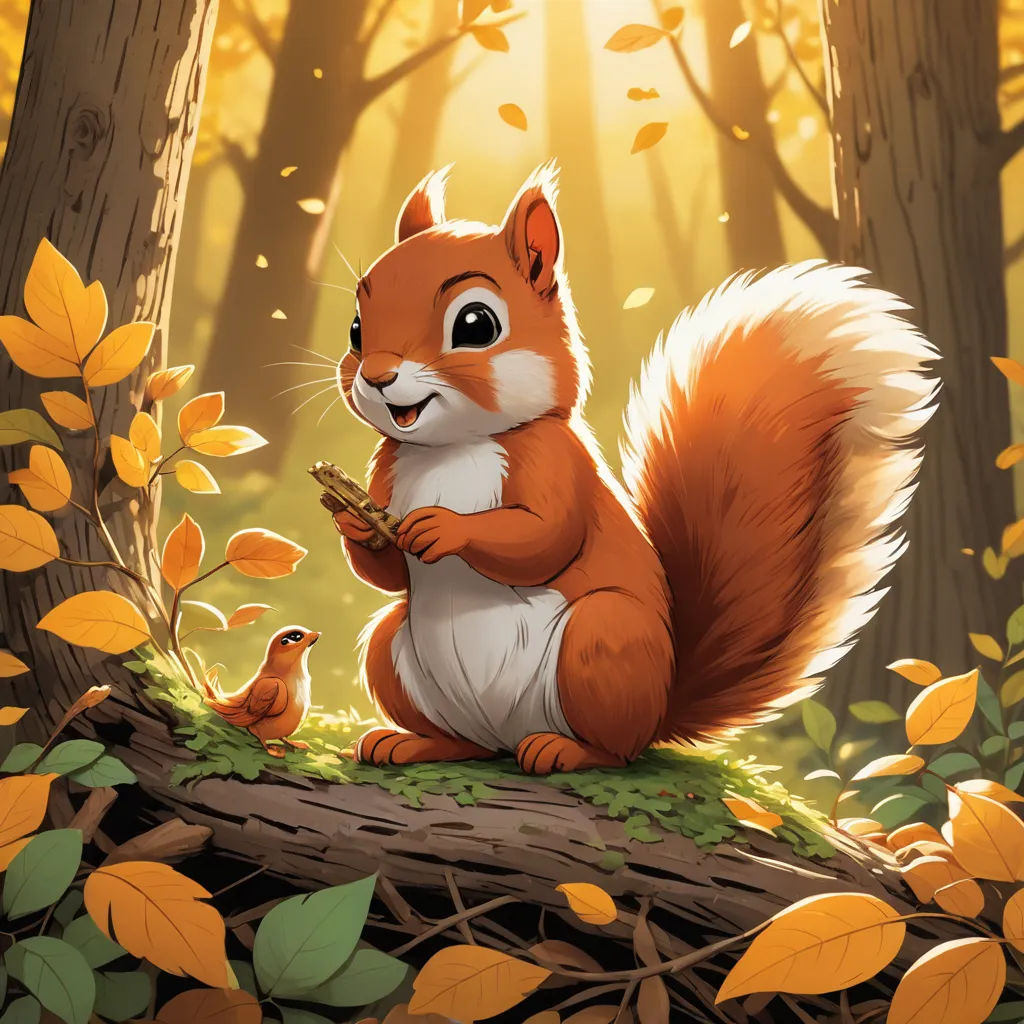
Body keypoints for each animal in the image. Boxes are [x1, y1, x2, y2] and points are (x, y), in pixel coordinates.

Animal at [329, 162, 937, 775]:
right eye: (355, 328)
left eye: (476, 325)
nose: (377, 375)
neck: (454, 448)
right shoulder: (387, 473)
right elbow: (388, 575)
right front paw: (353, 522)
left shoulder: (557, 464)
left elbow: (544, 538)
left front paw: (444, 526)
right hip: (391, 650)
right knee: (465, 740)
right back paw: (411, 743)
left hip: (603, 640)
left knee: (615, 751)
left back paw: (563, 750)